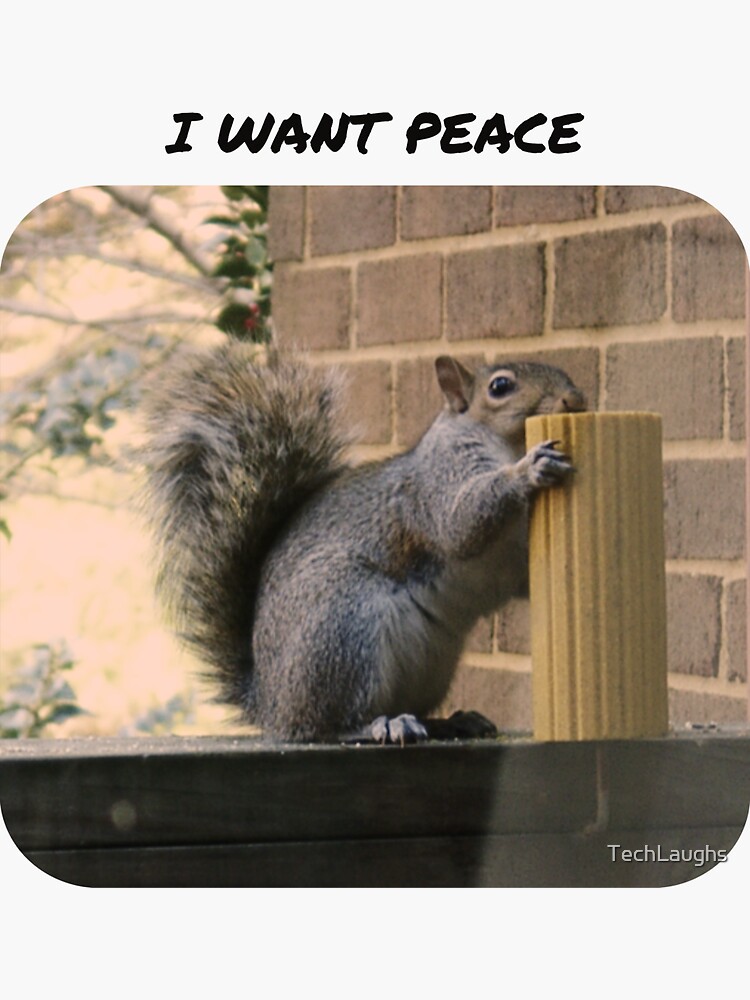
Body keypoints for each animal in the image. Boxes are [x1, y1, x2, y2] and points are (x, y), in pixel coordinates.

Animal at [141, 343, 586, 744]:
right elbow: (459, 522)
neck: (504, 444)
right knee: (325, 726)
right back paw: (380, 725)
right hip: (341, 624)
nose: (575, 399)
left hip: (430, 665)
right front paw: (527, 471)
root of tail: (270, 704)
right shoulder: (434, 484)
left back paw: (451, 722)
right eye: (500, 386)